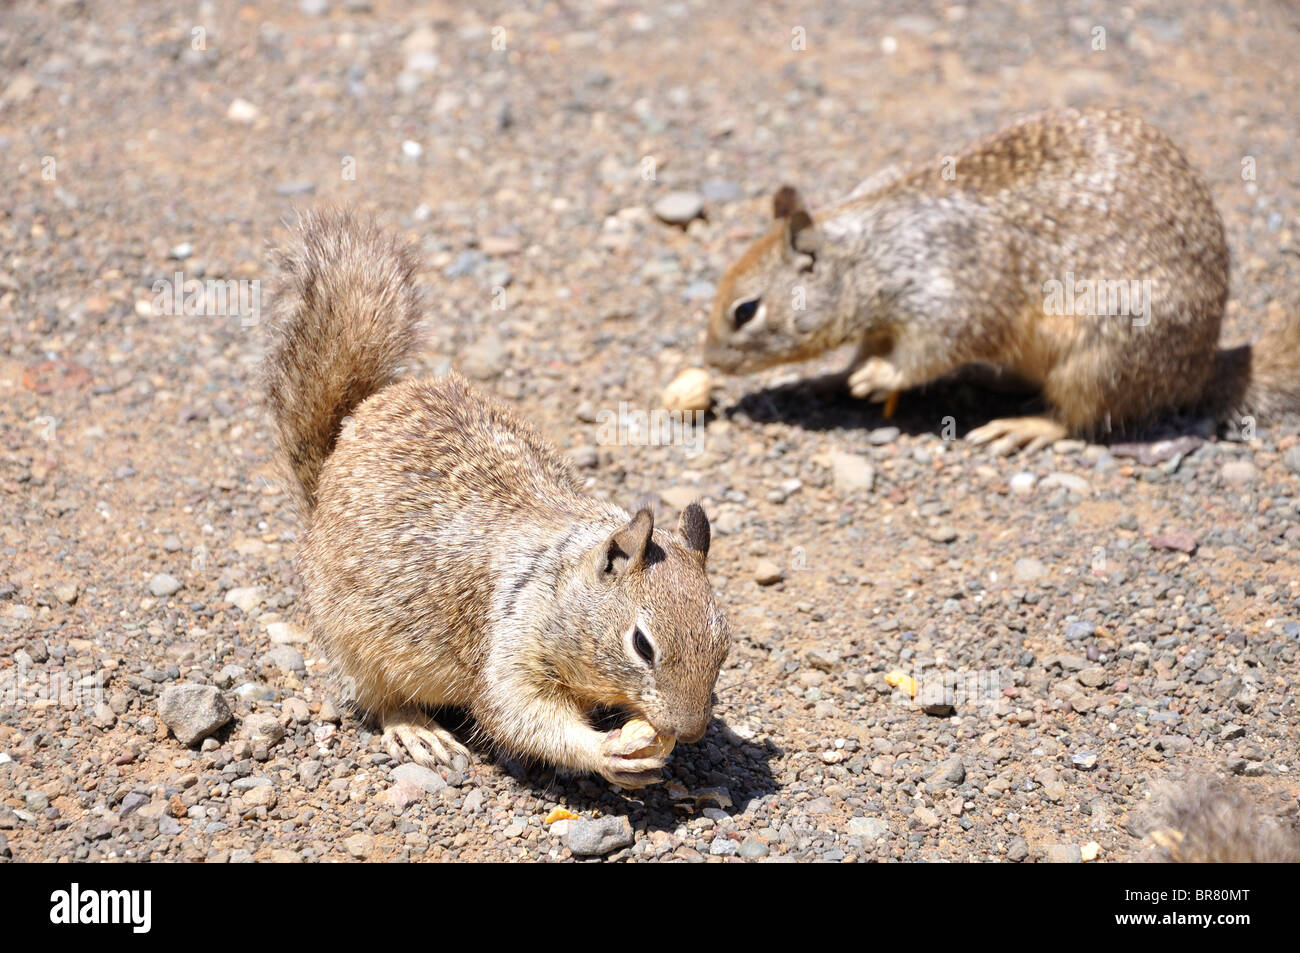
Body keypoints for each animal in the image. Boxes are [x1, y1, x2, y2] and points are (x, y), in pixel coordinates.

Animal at [262, 209, 731, 788]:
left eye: (724, 644)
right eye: (642, 644)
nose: (688, 732)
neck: (560, 580)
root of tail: (343, 441)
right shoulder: (509, 641)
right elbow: (515, 712)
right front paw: (606, 755)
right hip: (354, 640)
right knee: (378, 696)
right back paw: (414, 728)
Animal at [705, 107, 1300, 453]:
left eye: (745, 310)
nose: (708, 362)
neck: (872, 249)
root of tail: (1199, 370)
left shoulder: (954, 288)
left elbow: (936, 347)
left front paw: (880, 378)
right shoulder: (883, 319)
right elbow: (863, 352)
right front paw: (835, 378)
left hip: (1104, 356)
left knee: (1086, 418)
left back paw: (1025, 427)